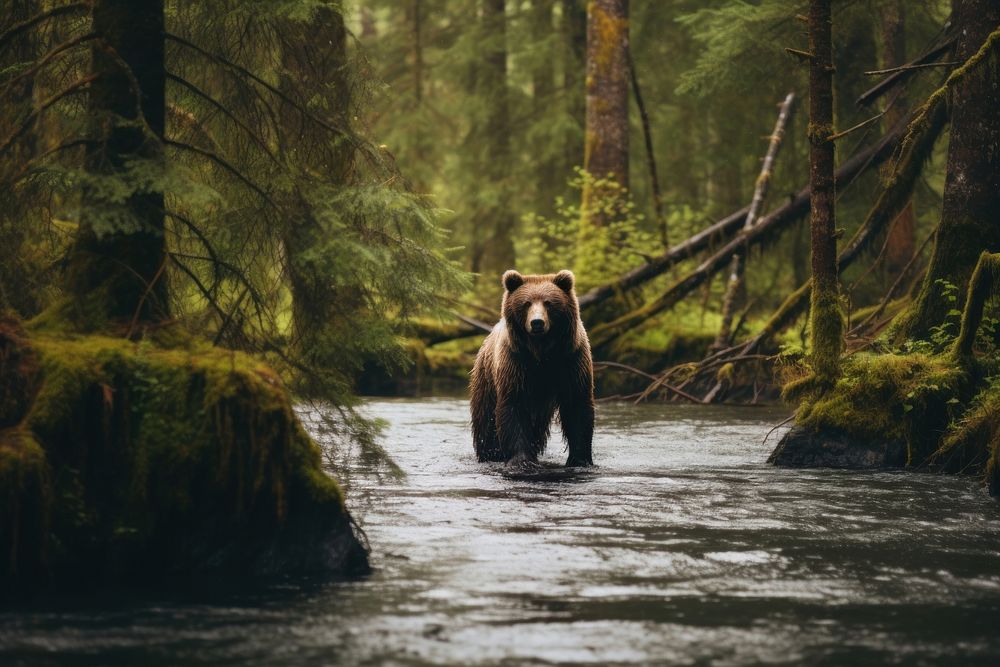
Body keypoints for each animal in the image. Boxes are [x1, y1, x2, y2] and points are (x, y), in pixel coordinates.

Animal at [469, 269, 595, 467]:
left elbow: (577, 405)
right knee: (486, 421)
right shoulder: (515, 363)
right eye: (526, 303)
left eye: (548, 303)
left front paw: (580, 459)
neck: (541, 352)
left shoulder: (572, 360)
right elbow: (514, 406)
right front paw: (521, 459)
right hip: (486, 379)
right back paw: (490, 453)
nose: (537, 322)